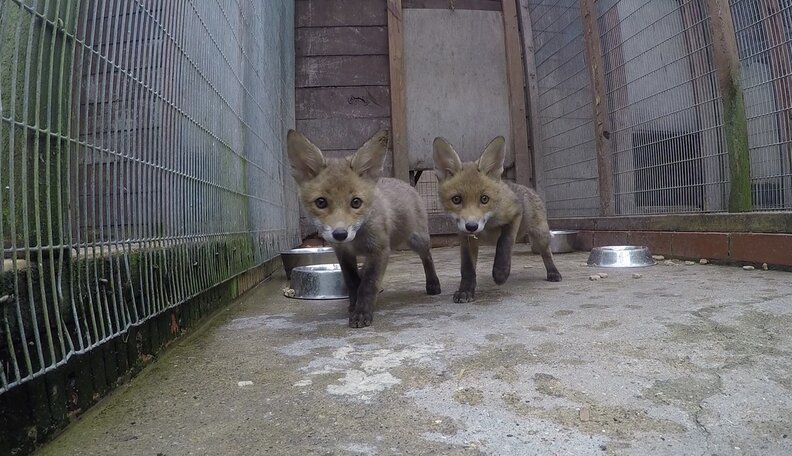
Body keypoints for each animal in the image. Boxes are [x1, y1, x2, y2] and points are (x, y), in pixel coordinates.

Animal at [287, 129, 441, 328]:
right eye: (321, 202)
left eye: (356, 202)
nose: (340, 234)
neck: (356, 240)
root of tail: (404, 183)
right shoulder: (343, 253)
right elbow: (353, 281)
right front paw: (354, 305)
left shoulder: (379, 250)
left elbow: (368, 284)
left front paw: (362, 313)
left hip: (417, 240)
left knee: (427, 256)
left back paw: (433, 284)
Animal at [433, 135, 562, 303]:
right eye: (456, 199)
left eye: (484, 199)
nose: (472, 226)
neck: (487, 226)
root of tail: (529, 188)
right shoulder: (466, 237)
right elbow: (467, 268)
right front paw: (465, 290)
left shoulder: (515, 213)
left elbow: (504, 243)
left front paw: (500, 272)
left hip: (541, 235)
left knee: (547, 253)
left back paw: (553, 272)